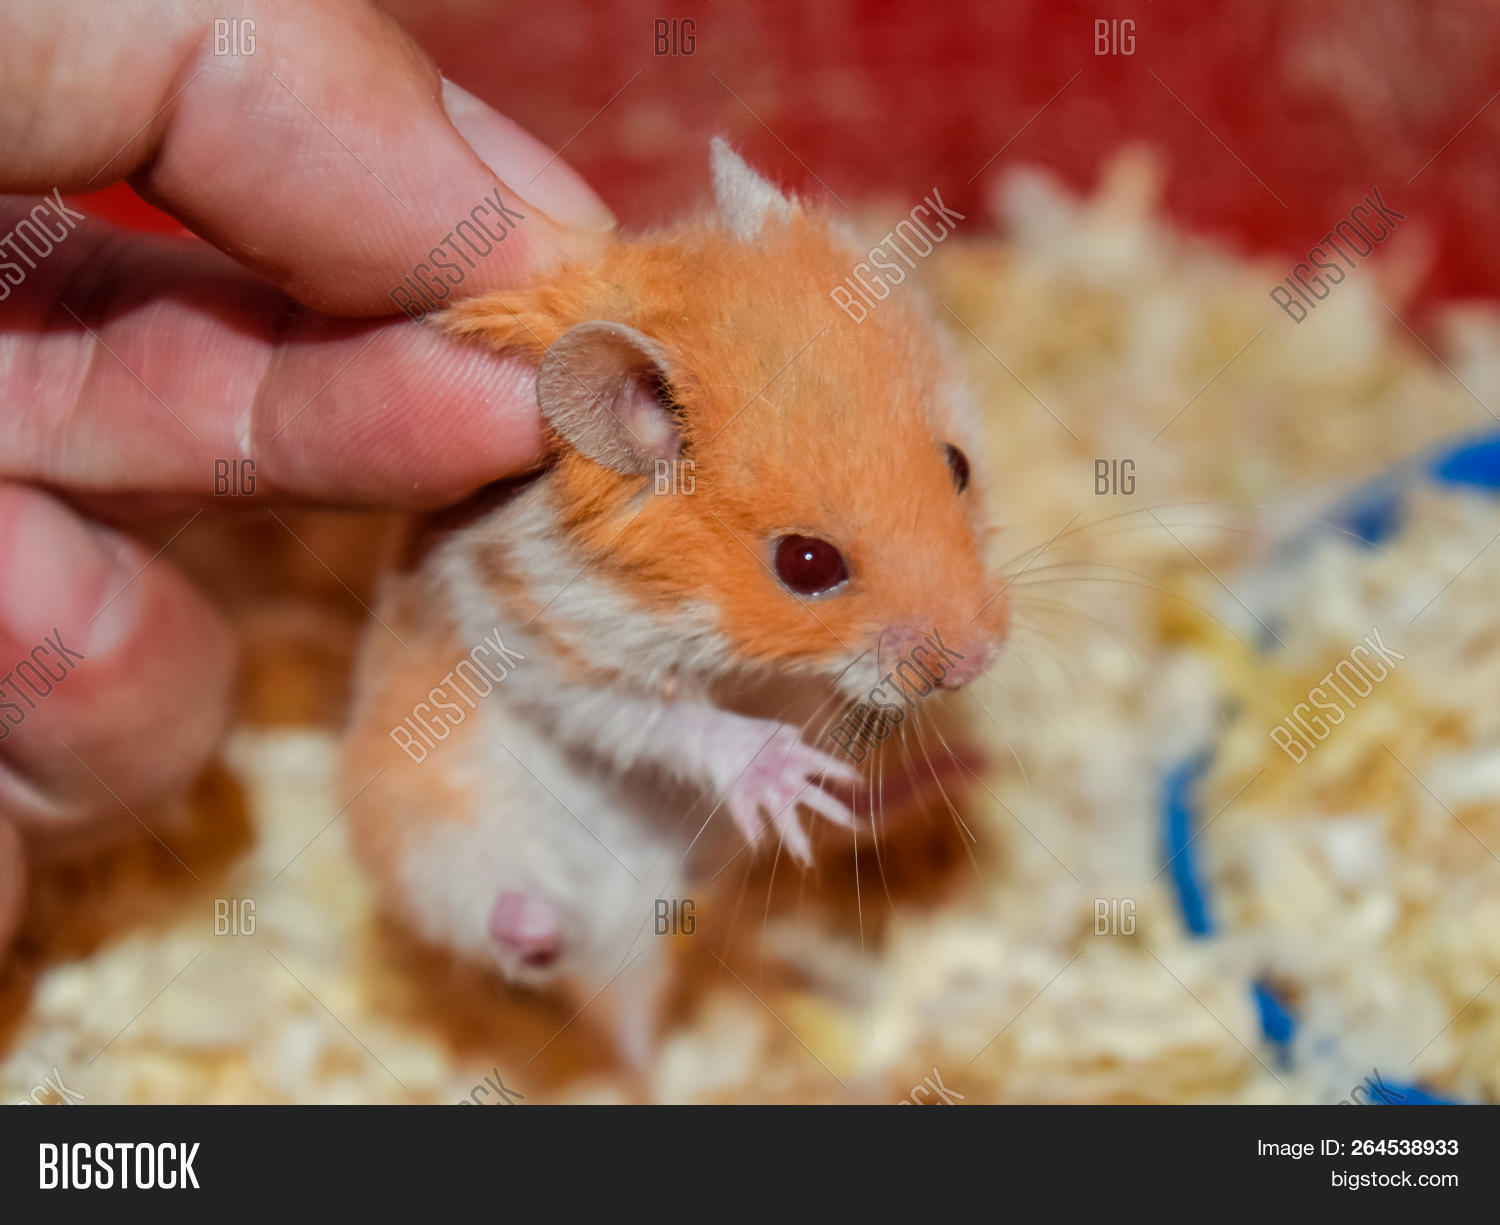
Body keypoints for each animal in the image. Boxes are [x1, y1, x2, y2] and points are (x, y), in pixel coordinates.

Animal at [340, 140, 1010, 1063]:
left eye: (958, 464)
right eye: (806, 564)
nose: (978, 661)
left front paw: (830, 778)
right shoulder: (541, 637)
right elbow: (669, 719)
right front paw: (786, 776)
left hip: (705, 875)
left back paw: (939, 777)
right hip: (425, 836)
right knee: (490, 915)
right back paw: (540, 927)